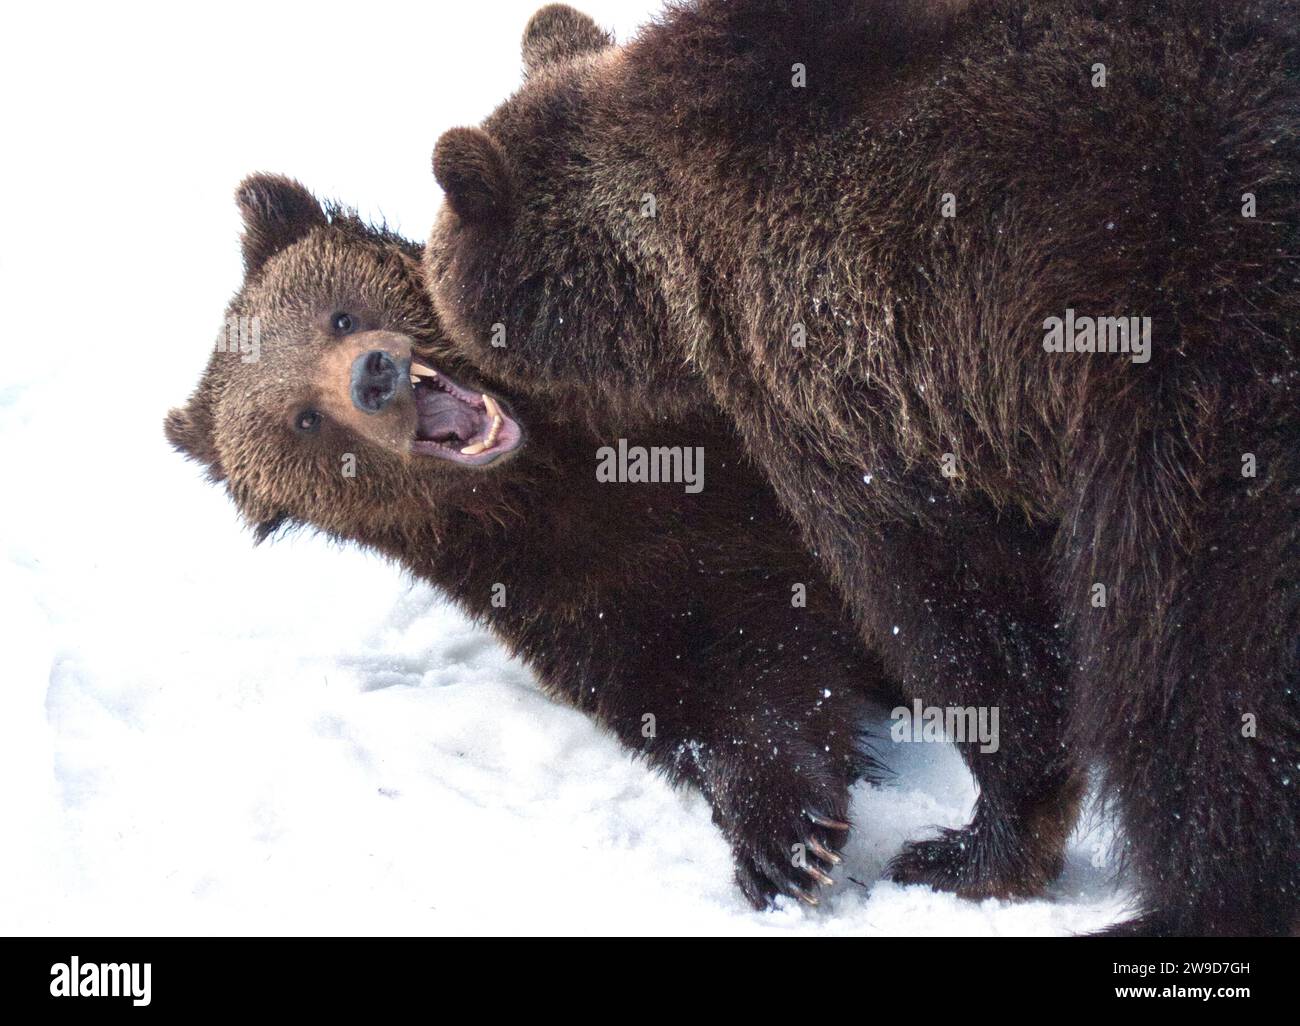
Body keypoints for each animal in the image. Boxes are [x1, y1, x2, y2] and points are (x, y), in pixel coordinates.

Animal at [167, 173, 910, 908]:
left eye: (337, 316)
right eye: (304, 420)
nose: (373, 376)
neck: (555, 472)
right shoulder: (579, 588)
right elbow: (719, 681)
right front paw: (785, 841)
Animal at [424, 1, 1300, 935]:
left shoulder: (847, 363)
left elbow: (953, 605)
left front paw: (970, 849)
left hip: (1194, 340)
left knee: (1201, 645)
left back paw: (1205, 896)